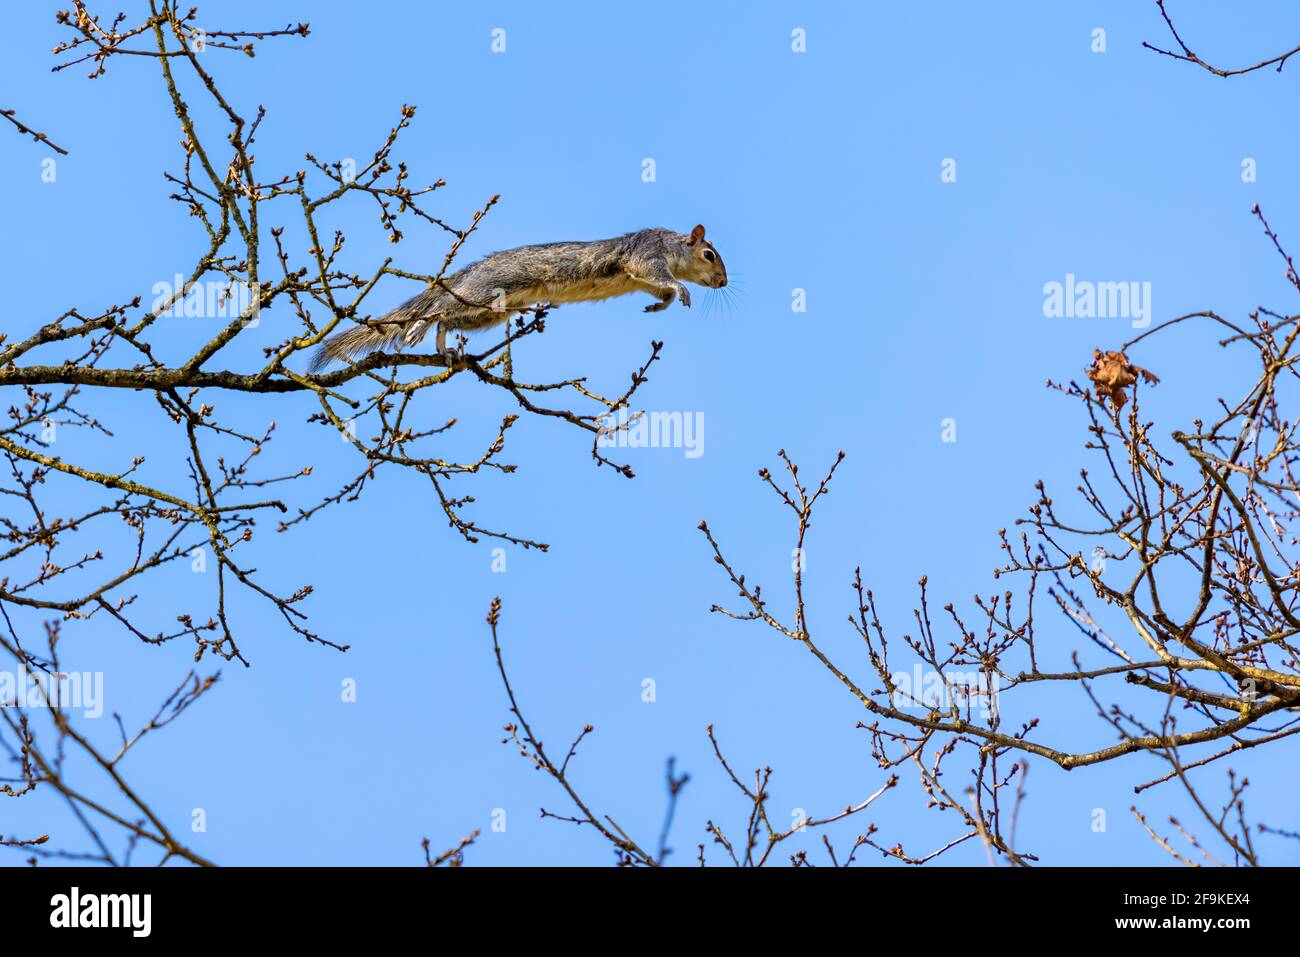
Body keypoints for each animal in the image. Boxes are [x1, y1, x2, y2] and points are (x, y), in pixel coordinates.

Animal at [309, 224, 727, 369]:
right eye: (710, 255)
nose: (723, 283)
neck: (670, 244)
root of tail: (468, 274)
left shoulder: (641, 276)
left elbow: (657, 288)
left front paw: (661, 303)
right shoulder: (645, 256)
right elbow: (665, 278)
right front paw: (682, 290)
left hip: (485, 314)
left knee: (448, 320)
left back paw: (444, 349)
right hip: (480, 296)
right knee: (441, 309)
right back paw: (417, 328)